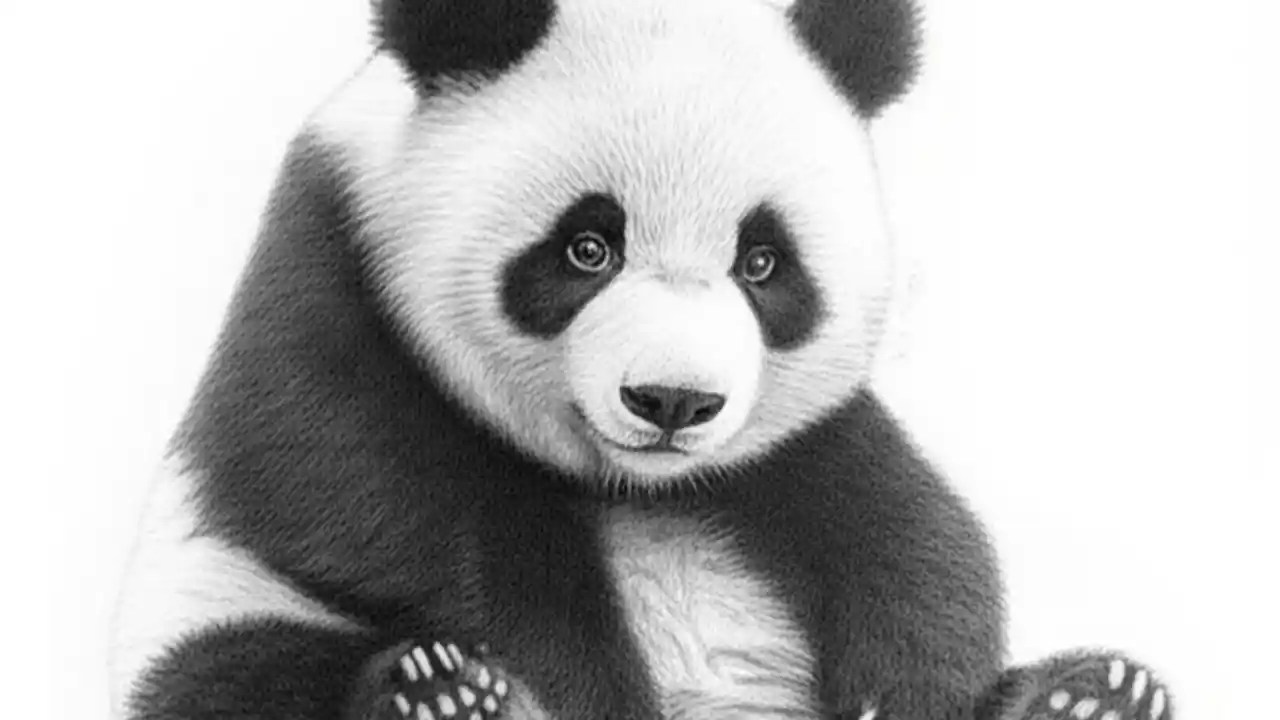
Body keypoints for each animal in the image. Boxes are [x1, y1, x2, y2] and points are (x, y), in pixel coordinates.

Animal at [108, 0, 1175, 719]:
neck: (632, 489)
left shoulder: (794, 448)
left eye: (762, 263)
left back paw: (1092, 693)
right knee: (238, 674)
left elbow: (909, 531)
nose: (673, 401)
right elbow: (392, 508)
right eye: (588, 247)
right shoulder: (322, 299)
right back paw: (451, 695)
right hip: (208, 610)